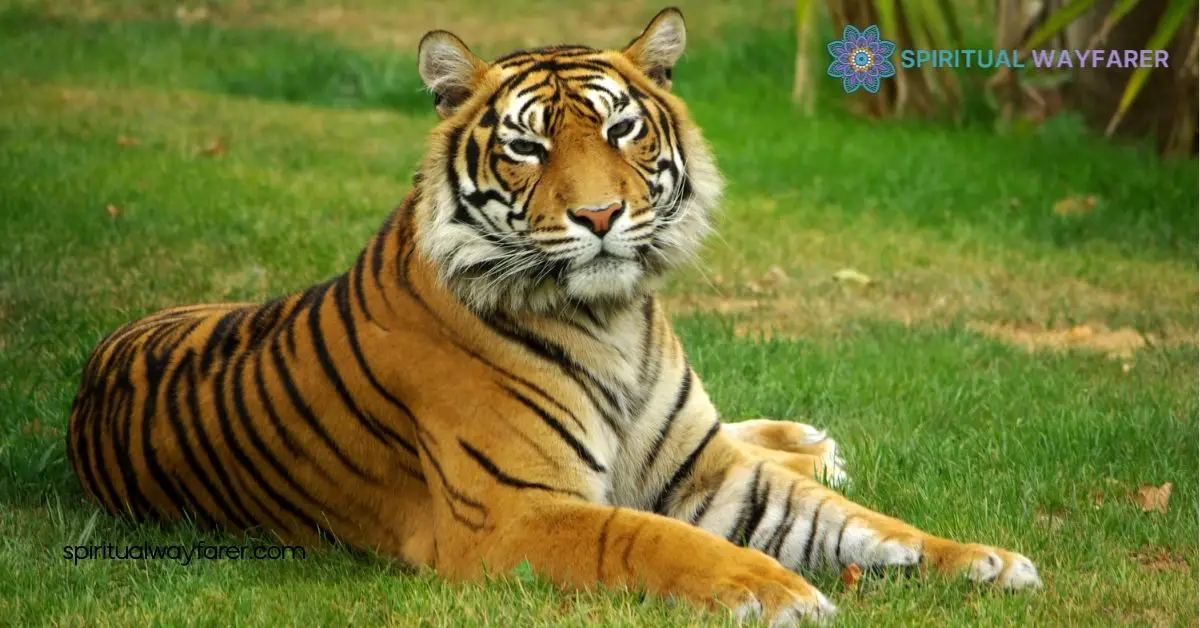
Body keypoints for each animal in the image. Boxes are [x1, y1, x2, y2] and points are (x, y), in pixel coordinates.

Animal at [65, 7, 1041, 624]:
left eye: (620, 132)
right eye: (528, 146)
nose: (600, 216)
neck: (614, 320)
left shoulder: (711, 471)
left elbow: (862, 523)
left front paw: (981, 560)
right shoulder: (516, 513)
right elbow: (647, 537)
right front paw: (780, 592)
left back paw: (809, 441)